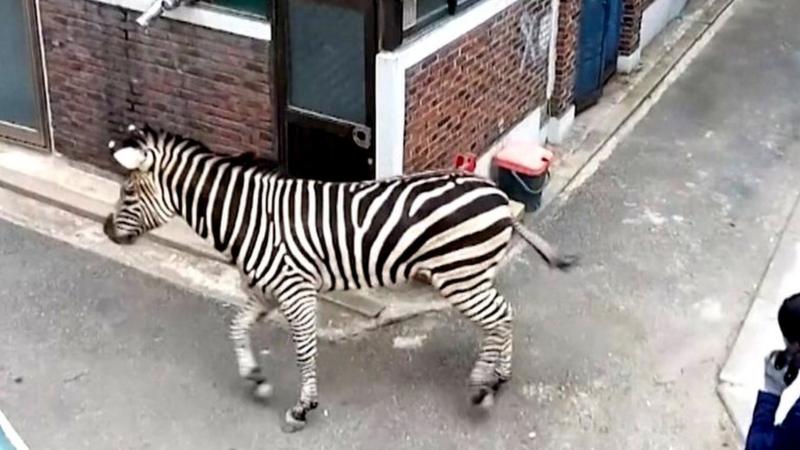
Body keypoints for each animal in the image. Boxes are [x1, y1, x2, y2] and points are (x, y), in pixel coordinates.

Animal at [103, 123, 576, 432]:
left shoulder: (295, 291)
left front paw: (302, 407)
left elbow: (303, 350)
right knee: (503, 316)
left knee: (499, 317)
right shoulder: (265, 292)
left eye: (128, 191)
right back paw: (497, 377)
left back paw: (482, 385)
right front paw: (255, 379)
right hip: (470, 275)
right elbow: (236, 327)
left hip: (459, 276)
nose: (106, 230)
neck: (250, 217)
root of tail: (497, 194)